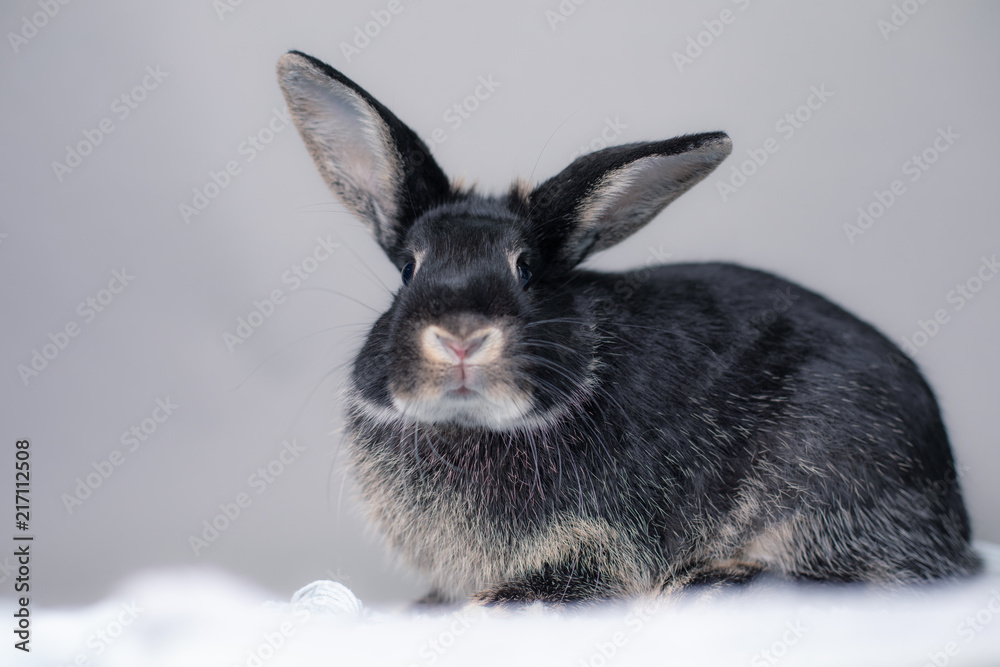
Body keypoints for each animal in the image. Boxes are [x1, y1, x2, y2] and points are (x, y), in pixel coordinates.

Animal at [276, 50, 981, 605]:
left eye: (526, 269)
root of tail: (951, 515)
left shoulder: (604, 538)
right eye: (408, 270)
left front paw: (503, 600)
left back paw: (714, 579)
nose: (461, 336)